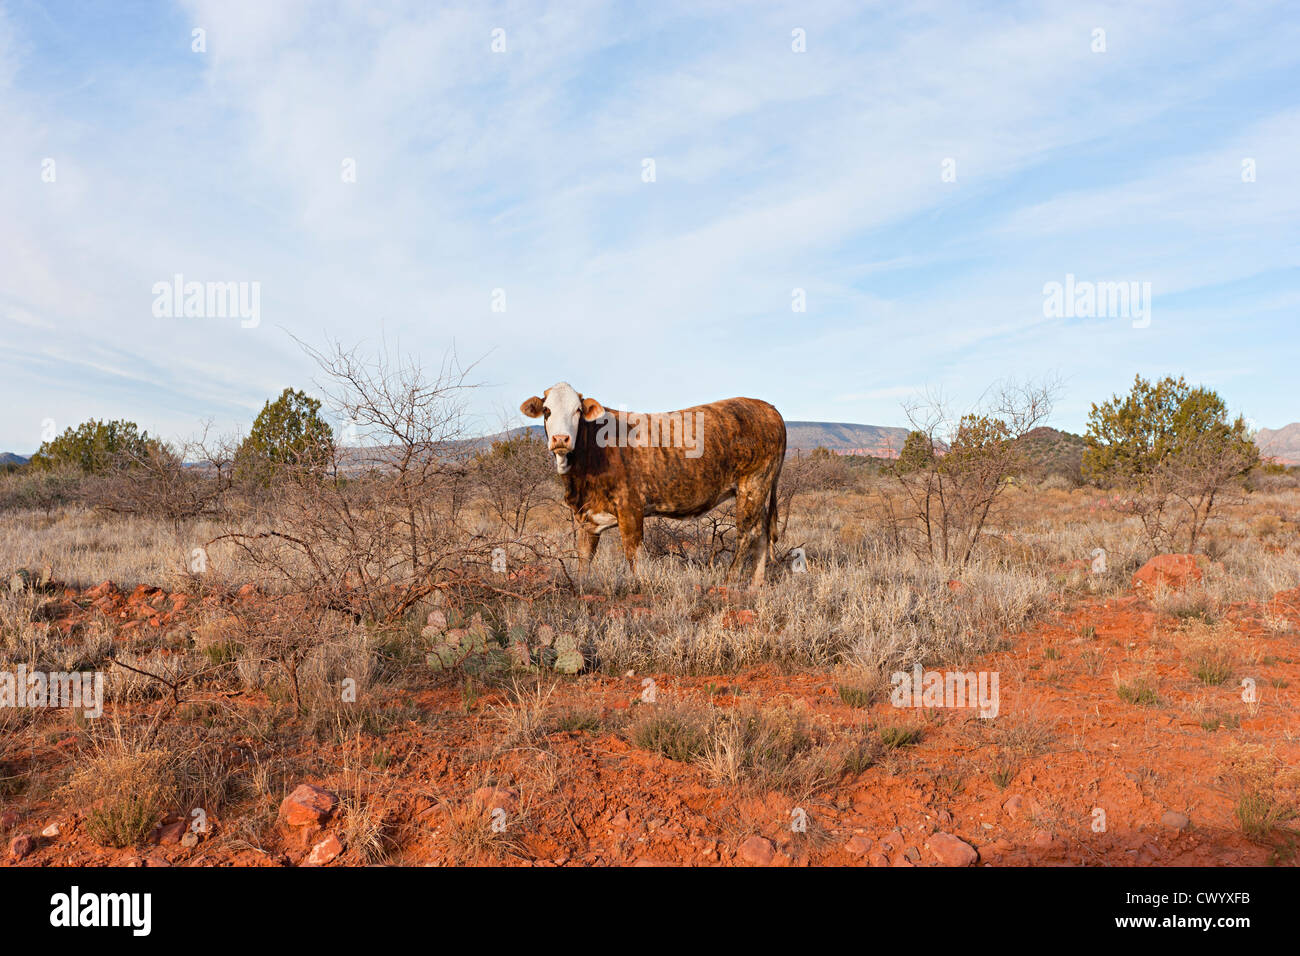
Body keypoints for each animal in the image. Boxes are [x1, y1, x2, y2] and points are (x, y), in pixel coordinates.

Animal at [519, 382, 787, 585]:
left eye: (577, 410)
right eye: (547, 410)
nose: (560, 438)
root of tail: (768, 408)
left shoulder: (630, 508)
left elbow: (633, 555)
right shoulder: (587, 517)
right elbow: (584, 558)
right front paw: (582, 587)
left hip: (753, 484)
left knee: (747, 533)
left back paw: (728, 582)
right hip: (758, 490)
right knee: (762, 533)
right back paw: (755, 586)